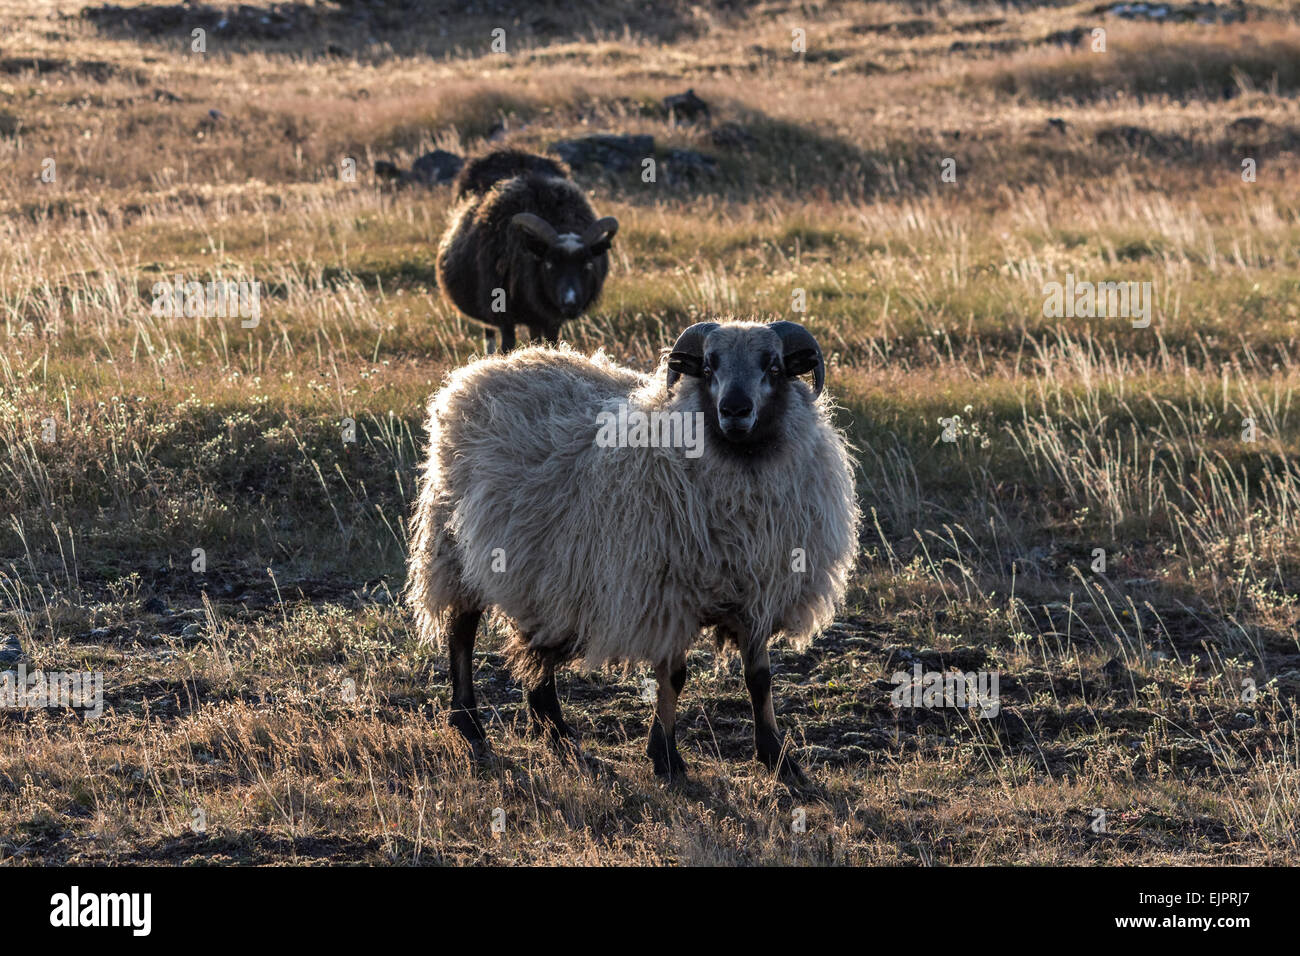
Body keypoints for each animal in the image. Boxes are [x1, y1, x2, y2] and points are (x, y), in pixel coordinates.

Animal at [405, 319, 860, 783]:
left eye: (774, 367)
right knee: (462, 631)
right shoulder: (667, 594)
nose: (735, 410)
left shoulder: (759, 592)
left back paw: (558, 734)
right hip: (456, 547)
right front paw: (667, 757)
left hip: (542, 569)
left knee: (537, 643)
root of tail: (483, 368)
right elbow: (674, 676)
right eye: (708, 368)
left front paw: (778, 758)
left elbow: (760, 678)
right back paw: (470, 725)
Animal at [436, 148, 619, 354]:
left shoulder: (551, 320)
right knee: (489, 334)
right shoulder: (504, 316)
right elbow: (507, 346)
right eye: (549, 264)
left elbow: (551, 344)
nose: (571, 304)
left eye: (587, 264)